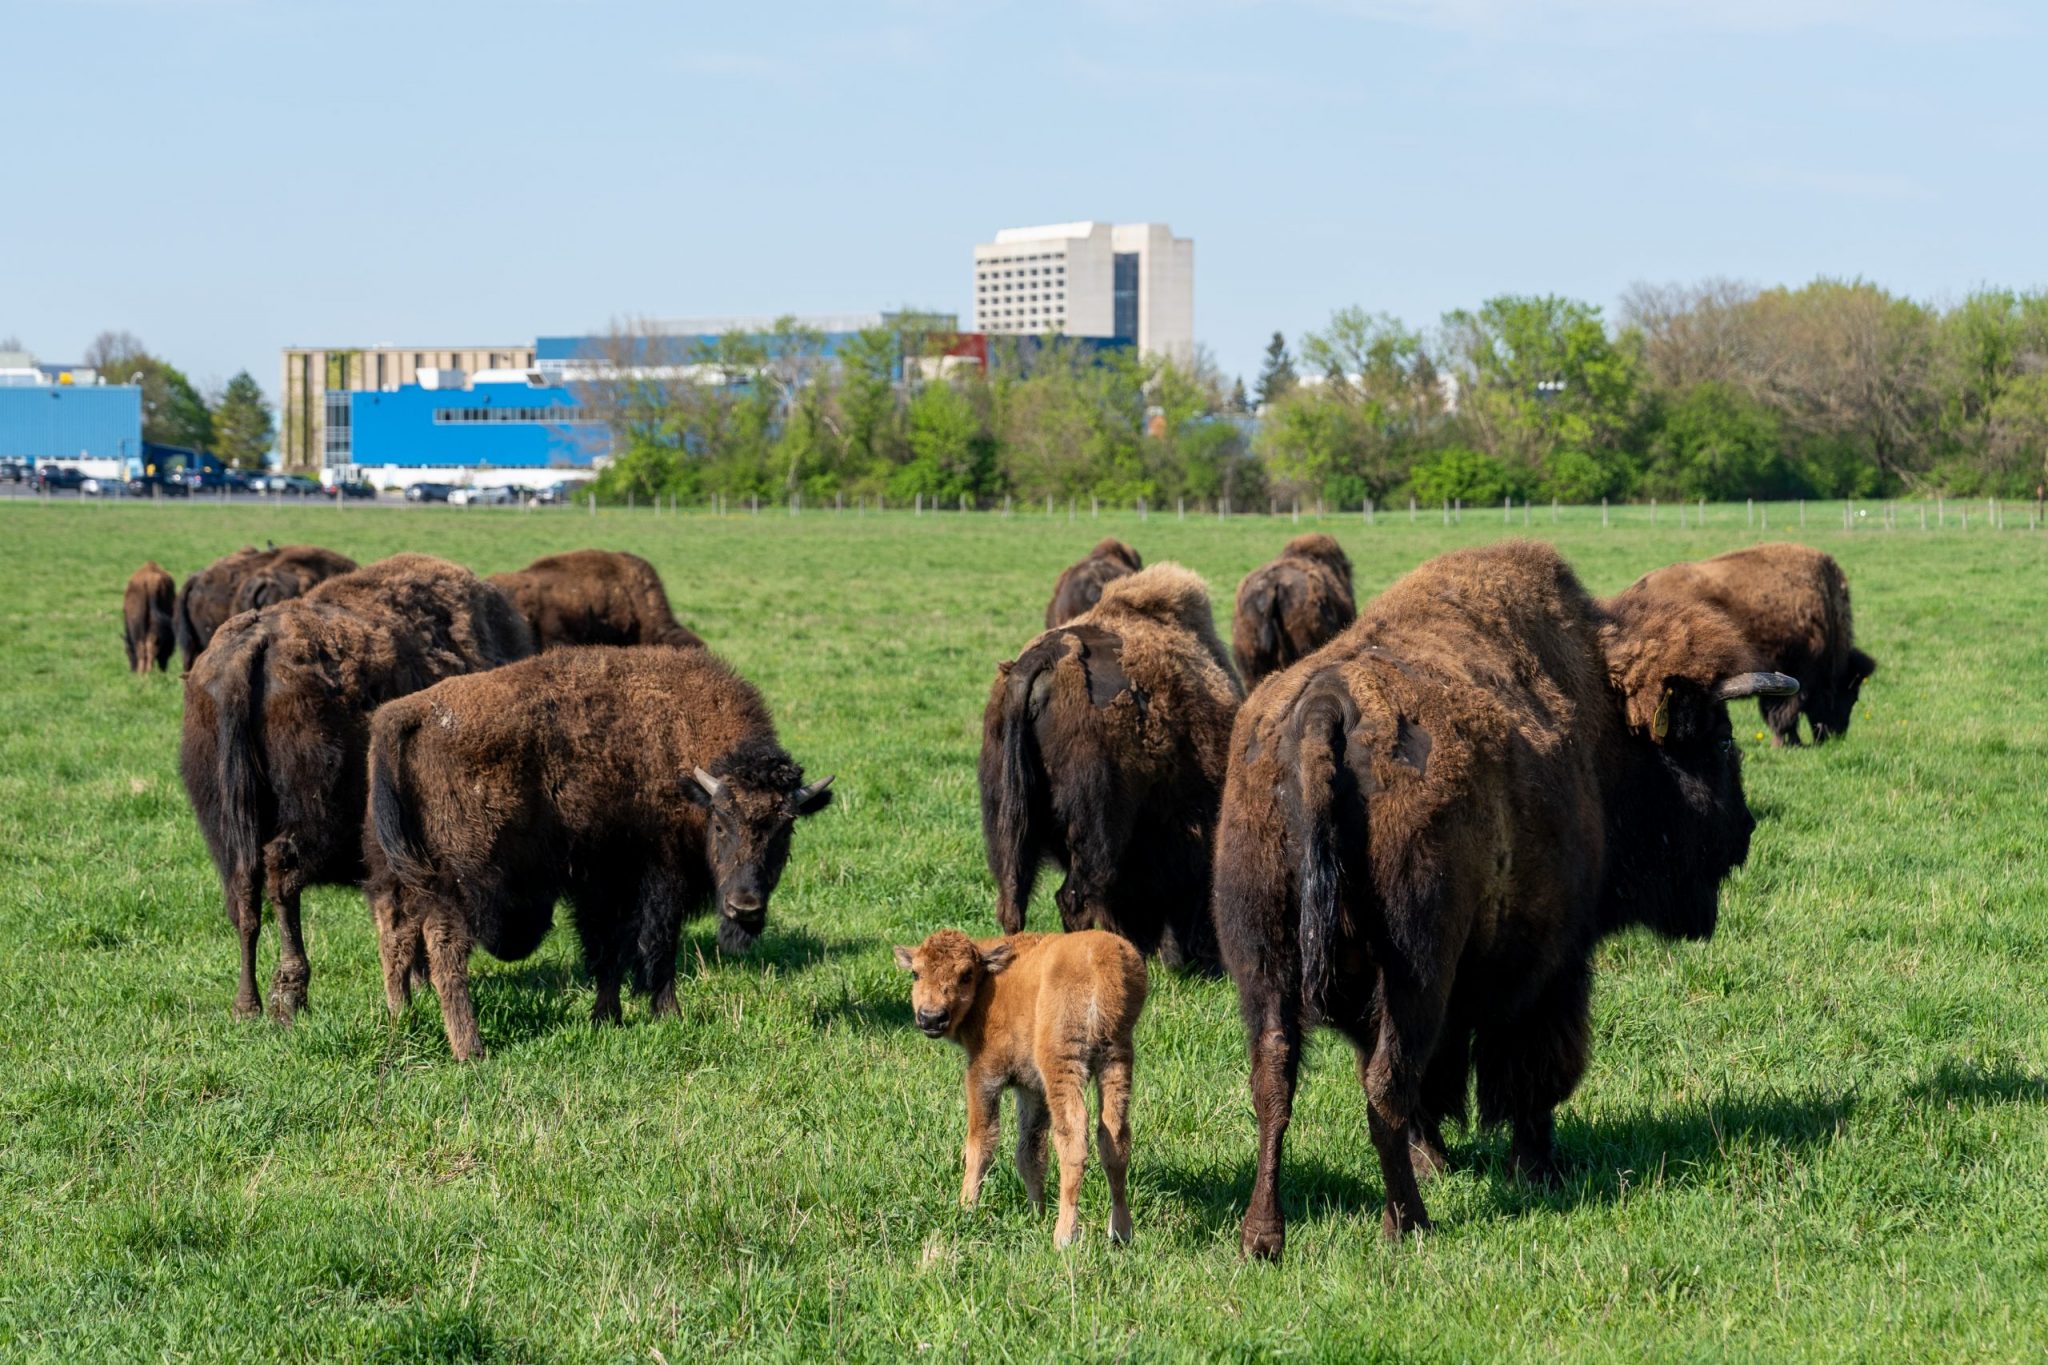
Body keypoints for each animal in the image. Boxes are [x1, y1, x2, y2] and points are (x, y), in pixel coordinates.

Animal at [179, 554, 532, 1022]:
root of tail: (255, 644)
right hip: (306, 822)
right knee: (282, 882)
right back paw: (289, 997)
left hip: (225, 823)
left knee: (245, 897)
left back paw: (248, 1005)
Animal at [364, 646, 834, 1060]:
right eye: (720, 823)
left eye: (785, 828)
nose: (744, 907)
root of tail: (406, 713)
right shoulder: (657, 878)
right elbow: (656, 946)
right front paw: (668, 1014)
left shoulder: (603, 884)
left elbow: (607, 950)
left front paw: (607, 1017)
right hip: (462, 881)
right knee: (444, 949)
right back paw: (470, 1048)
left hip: (397, 872)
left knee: (395, 934)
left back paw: (401, 1017)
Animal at [896, 928, 1147, 1247]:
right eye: (915, 973)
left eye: (966, 975)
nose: (931, 1017)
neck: (988, 982)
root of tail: (1101, 962)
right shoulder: (1032, 1089)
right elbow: (1030, 1152)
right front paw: (1036, 1212)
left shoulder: (984, 1075)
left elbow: (981, 1143)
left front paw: (966, 1207)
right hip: (1117, 1057)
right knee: (1114, 1138)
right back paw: (1121, 1231)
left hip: (1063, 1063)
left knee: (1074, 1138)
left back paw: (1064, 1236)